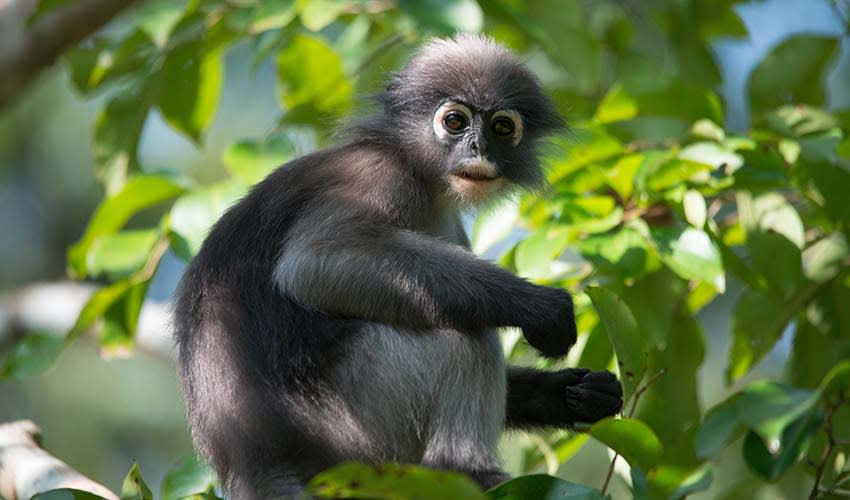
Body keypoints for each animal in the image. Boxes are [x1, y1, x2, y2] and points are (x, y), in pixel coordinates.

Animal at [174, 34, 623, 499]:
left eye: (502, 127)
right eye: (455, 122)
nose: (478, 148)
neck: (419, 171)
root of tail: (255, 462)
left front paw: (571, 393)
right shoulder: (374, 176)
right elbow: (313, 262)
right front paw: (539, 305)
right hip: (355, 428)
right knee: (465, 334)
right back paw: (467, 471)